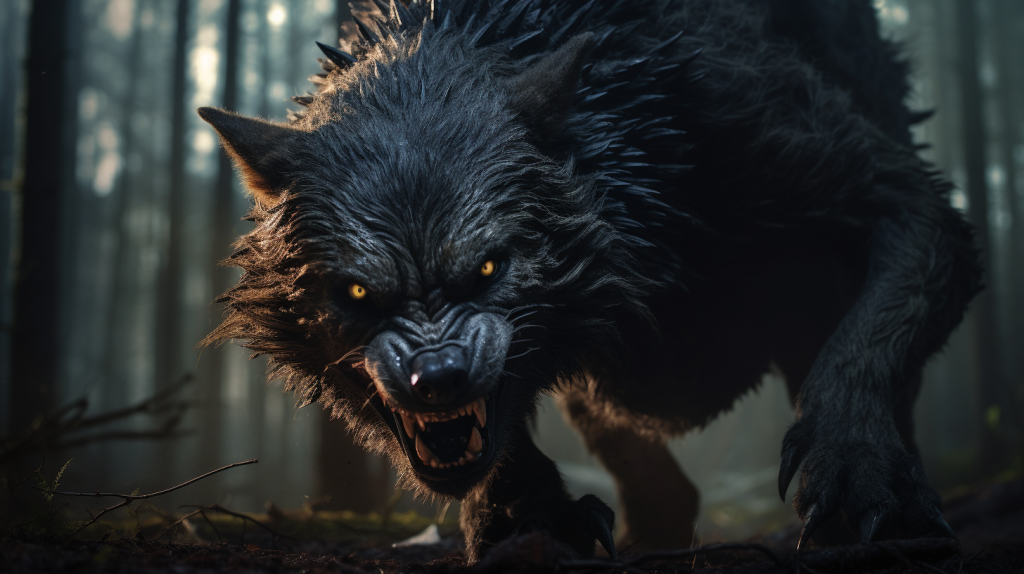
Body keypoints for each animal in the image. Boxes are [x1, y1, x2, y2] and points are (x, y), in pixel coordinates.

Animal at [198, 0, 979, 560]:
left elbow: (868, 327)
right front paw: (527, 515)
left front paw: (857, 473)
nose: (438, 379)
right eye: (357, 293)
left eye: (490, 267)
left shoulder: (772, 130)